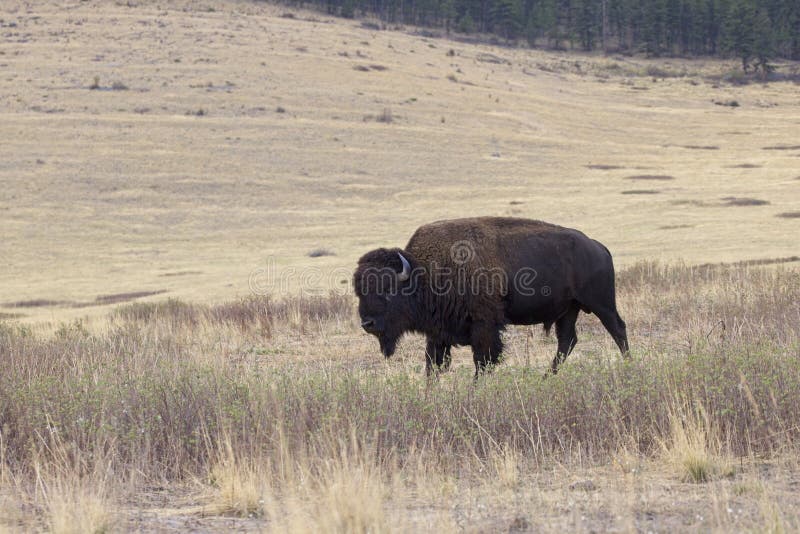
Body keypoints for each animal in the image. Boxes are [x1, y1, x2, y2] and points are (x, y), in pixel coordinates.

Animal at [354, 217, 629, 376]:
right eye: (359, 291)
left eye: (388, 290)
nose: (367, 323)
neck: (425, 272)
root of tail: (598, 247)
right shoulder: (438, 331)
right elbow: (433, 364)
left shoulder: (484, 325)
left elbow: (483, 360)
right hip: (569, 310)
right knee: (567, 342)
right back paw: (546, 377)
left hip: (601, 304)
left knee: (617, 329)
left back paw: (629, 365)